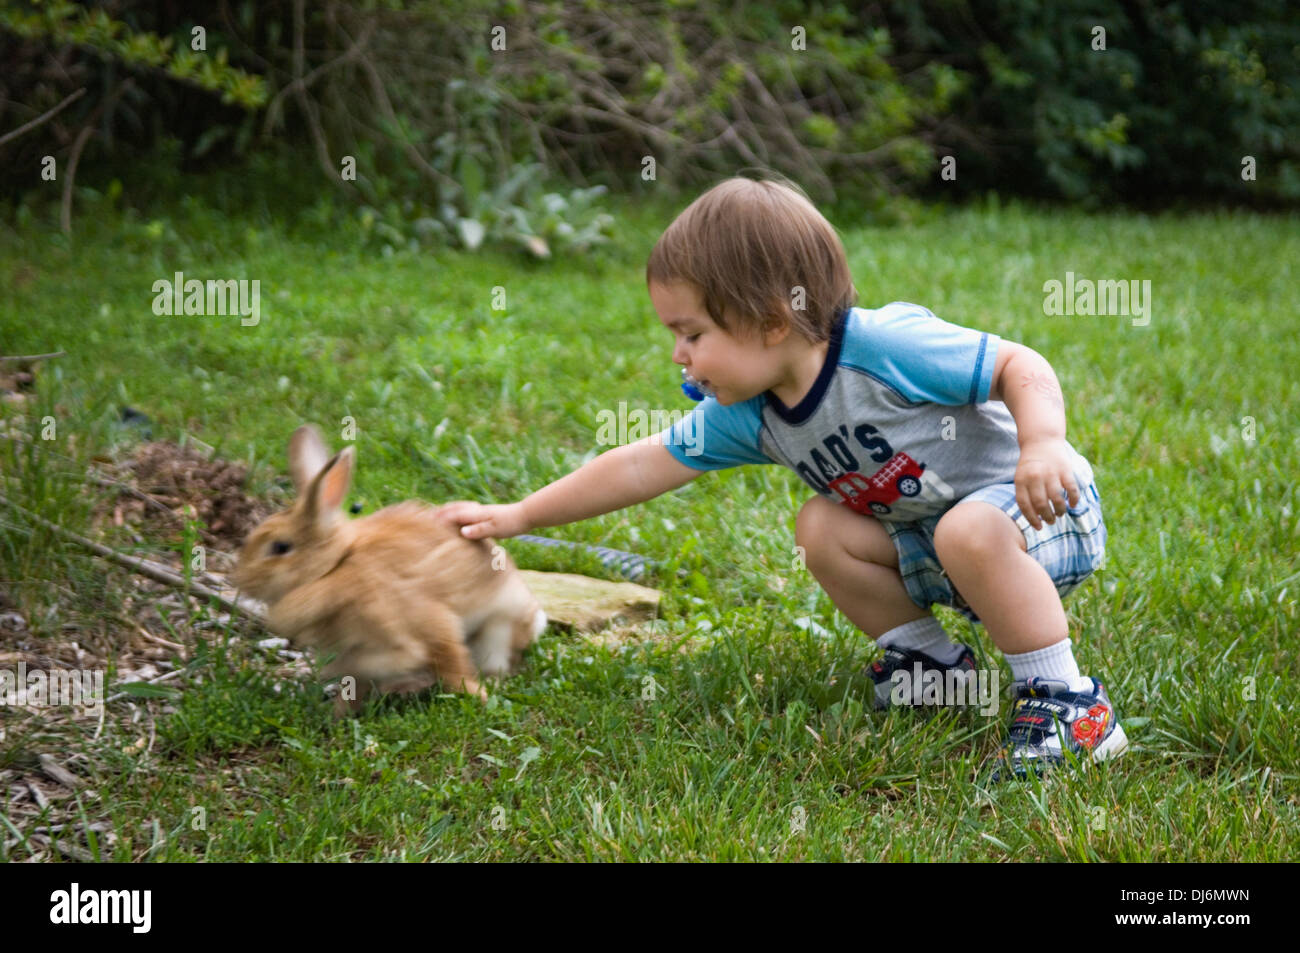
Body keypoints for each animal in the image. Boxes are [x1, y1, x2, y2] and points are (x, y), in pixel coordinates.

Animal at [231, 425, 546, 715]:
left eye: (280, 547)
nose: (240, 580)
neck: (333, 569)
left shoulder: (429, 624)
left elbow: (451, 664)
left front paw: (477, 696)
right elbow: (356, 682)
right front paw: (337, 715)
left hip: (498, 631)